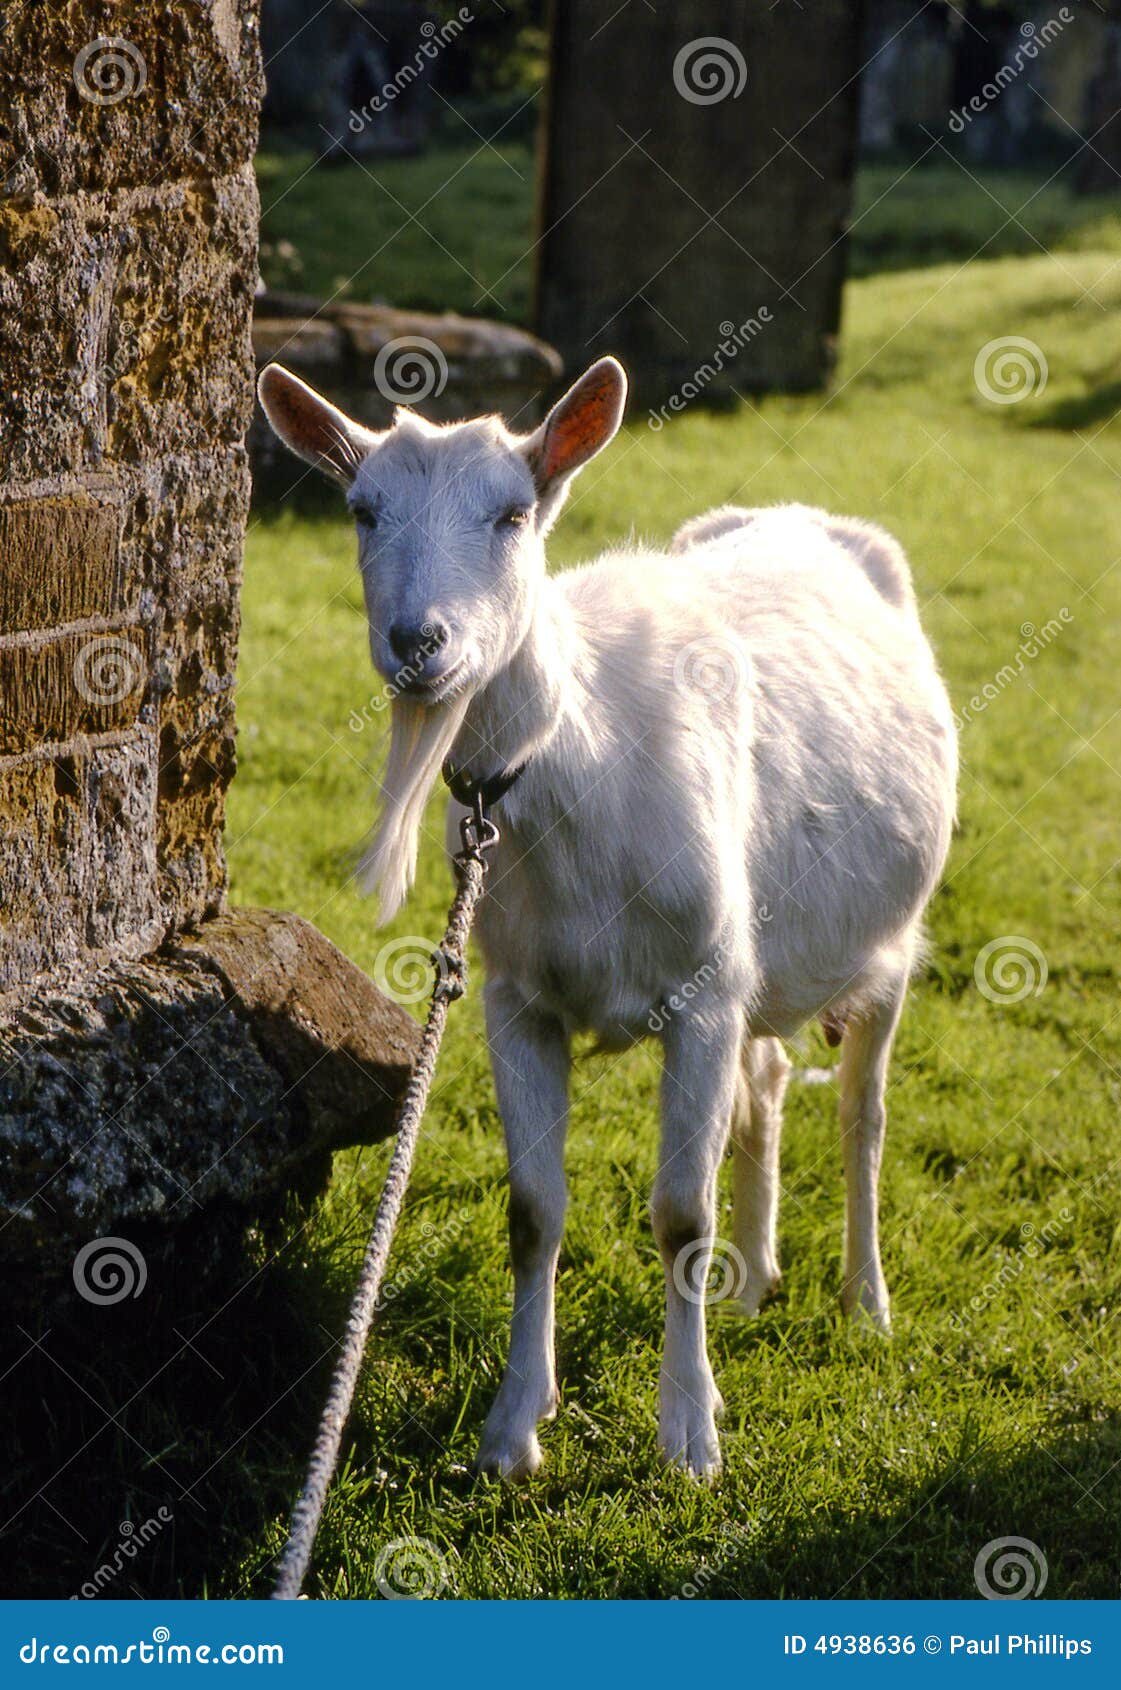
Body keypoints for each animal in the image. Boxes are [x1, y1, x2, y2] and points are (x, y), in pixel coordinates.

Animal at [259, 357, 958, 1480]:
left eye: (512, 512)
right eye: (362, 509)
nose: (418, 643)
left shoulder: (703, 989)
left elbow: (679, 1215)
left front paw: (689, 1439)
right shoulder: (514, 994)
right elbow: (532, 1209)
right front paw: (512, 1430)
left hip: (891, 942)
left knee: (863, 1110)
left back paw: (864, 1301)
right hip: (764, 954)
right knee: (767, 1082)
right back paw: (755, 1277)